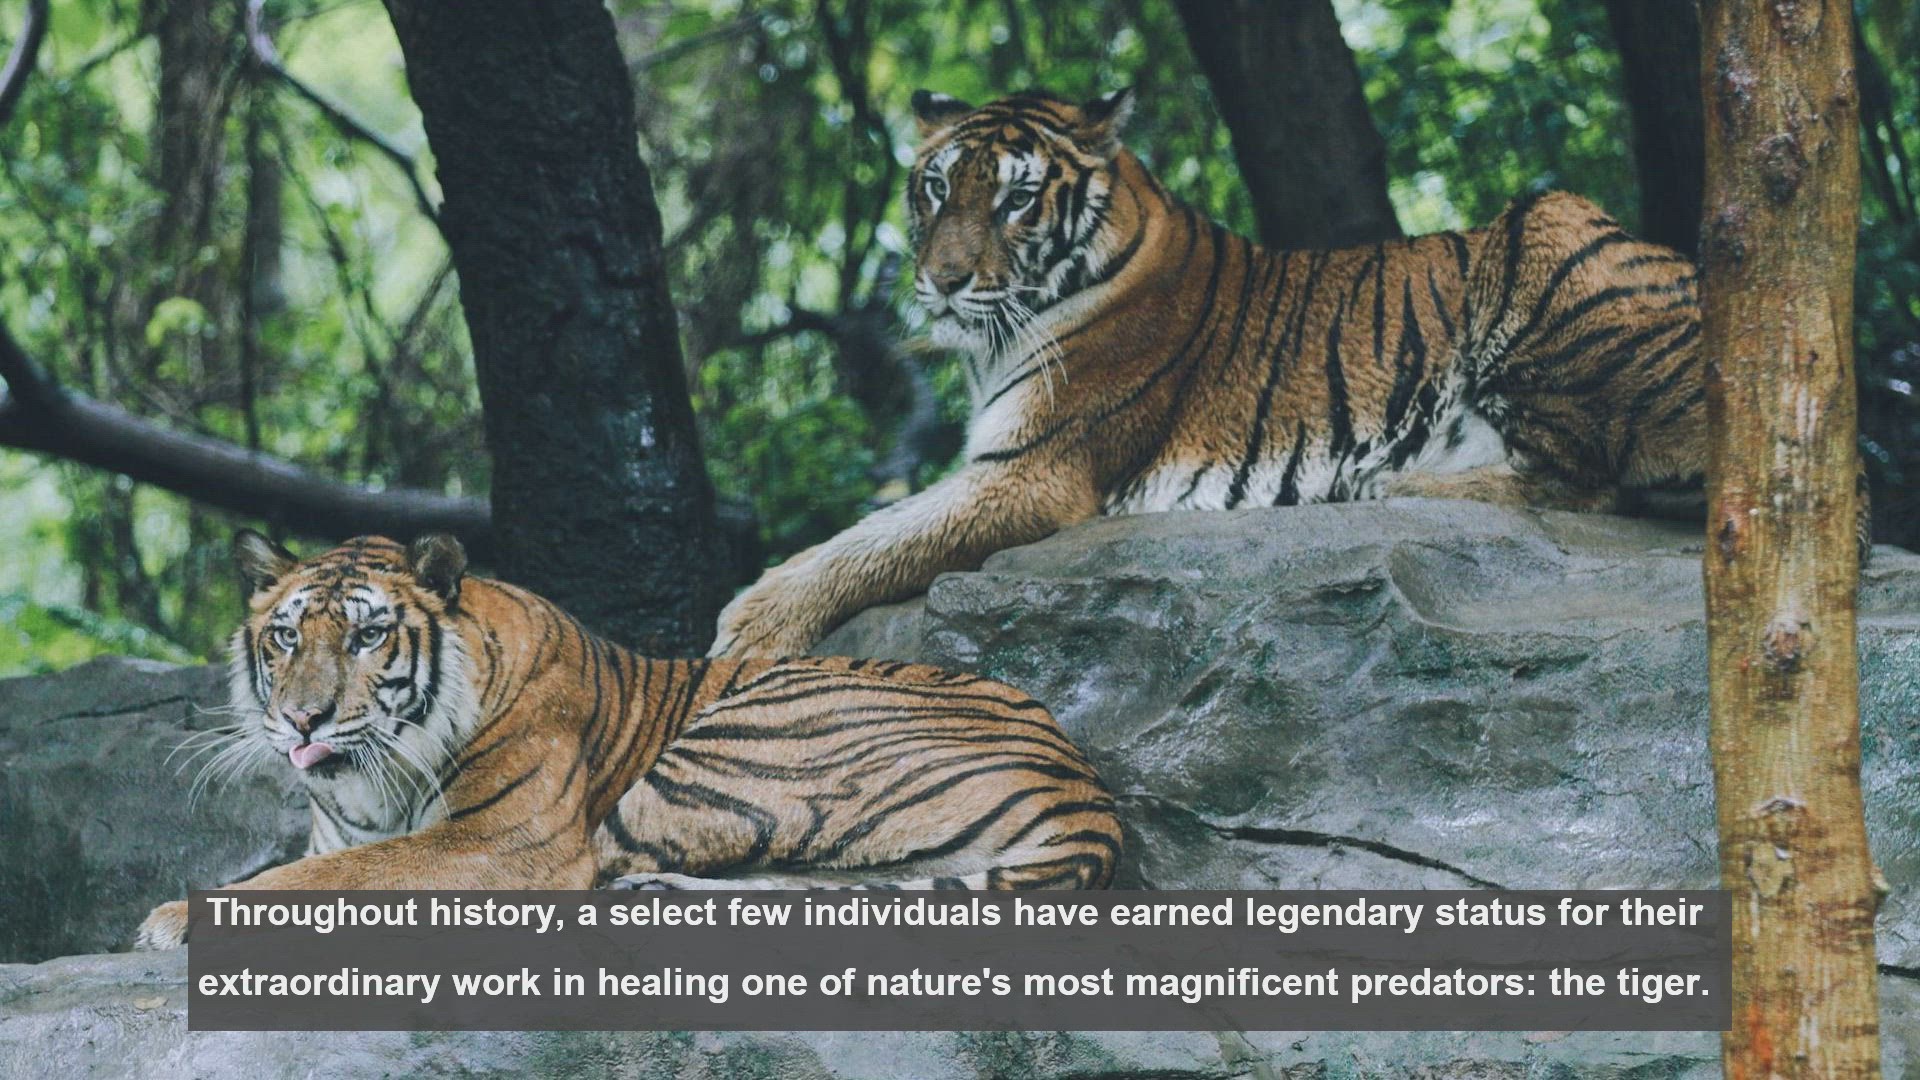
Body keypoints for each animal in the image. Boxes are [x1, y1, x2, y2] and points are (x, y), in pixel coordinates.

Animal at [134, 531, 1119, 949]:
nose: (302, 719)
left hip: (724, 747)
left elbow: (332, 875)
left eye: (369, 636)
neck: (369, 781)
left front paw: (172, 918)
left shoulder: (505, 842)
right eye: (285, 638)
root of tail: (1092, 797)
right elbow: (314, 864)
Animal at [708, 86, 1838, 658]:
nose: (939, 284)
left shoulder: (1031, 469)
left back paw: (1391, 481)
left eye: (1018, 199)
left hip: (1549, 240)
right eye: (937, 188)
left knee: (1592, 478)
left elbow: (870, 539)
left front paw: (743, 628)